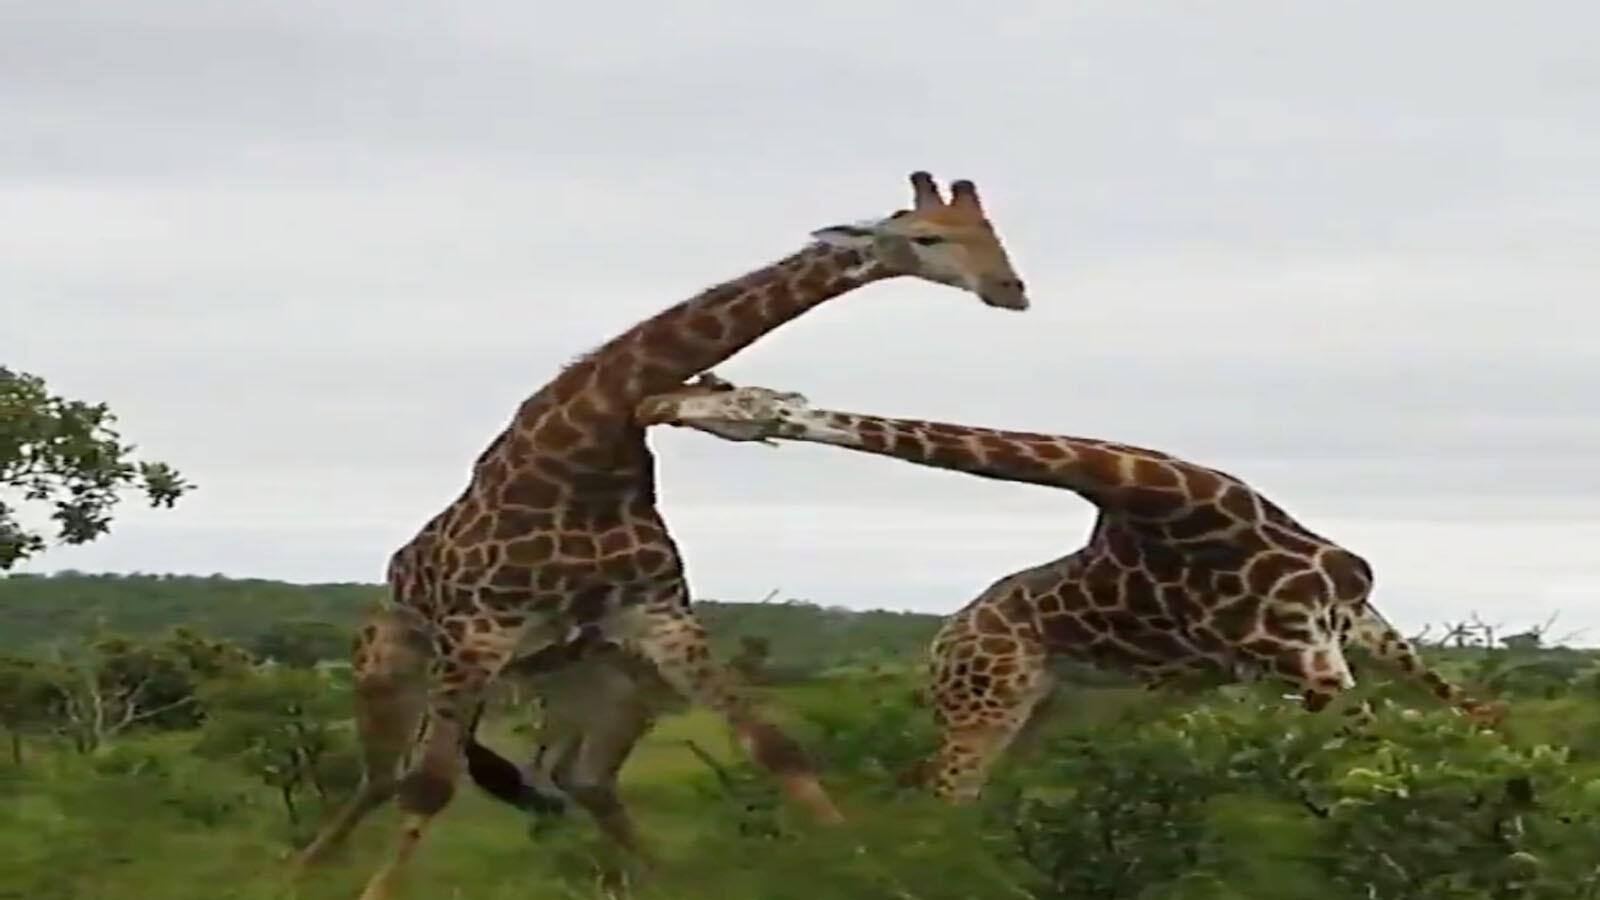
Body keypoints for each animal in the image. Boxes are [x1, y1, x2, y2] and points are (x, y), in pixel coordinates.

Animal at [290, 171, 1031, 899]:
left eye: (991, 231)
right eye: (927, 237)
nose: (1011, 289)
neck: (584, 455)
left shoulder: (659, 616)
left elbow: (777, 748)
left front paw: (880, 874)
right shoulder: (481, 631)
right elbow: (429, 788)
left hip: (608, 685)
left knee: (583, 779)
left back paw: (661, 877)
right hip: (393, 669)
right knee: (386, 775)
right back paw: (305, 869)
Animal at [634, 379, 1508, 803]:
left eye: (731, 399)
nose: (654, 402)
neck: (1168, 509)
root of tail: (944, 639)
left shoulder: (1347, 624)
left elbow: (1468, 711)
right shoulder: (1303, 657)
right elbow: (1381, 749)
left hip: (1048, 712)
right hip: (985, 706)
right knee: (942, 797)